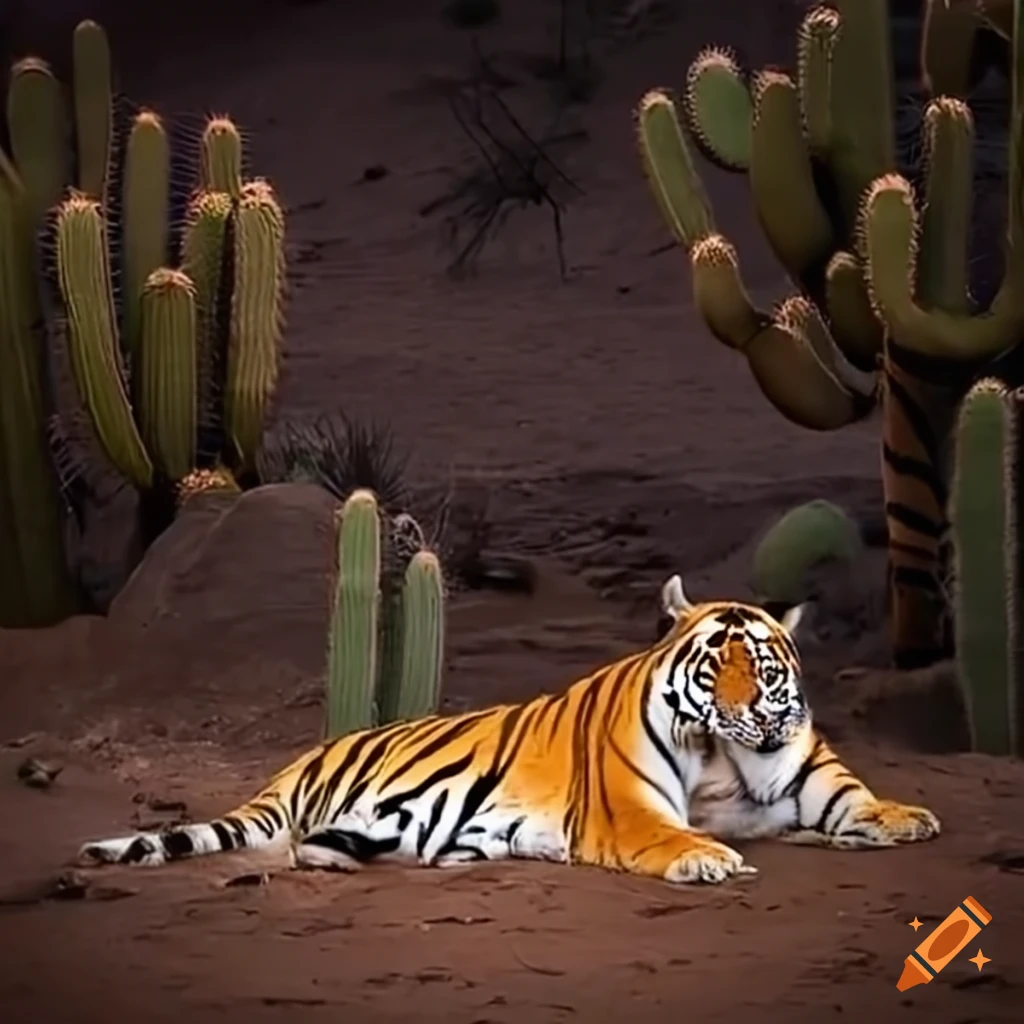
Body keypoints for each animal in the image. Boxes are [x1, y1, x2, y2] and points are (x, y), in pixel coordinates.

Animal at [77, 575, 940, 884]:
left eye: (760, 668)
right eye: (711, 669)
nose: (748, 713)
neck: (725, 753)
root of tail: (299, 761)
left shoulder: (807, 769)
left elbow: (855, 798)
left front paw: (905, 818)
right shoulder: (628, 812)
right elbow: (673, 835)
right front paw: (709, 858)